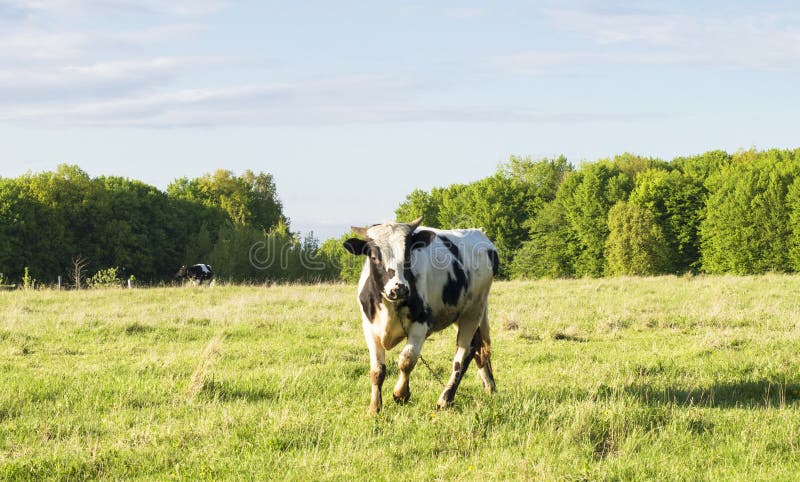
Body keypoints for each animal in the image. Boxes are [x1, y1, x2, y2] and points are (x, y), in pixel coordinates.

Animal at [343, 216, 498, 414]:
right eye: (373, 256)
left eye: (408, 254)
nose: (399, 289)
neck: (390, 306)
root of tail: (480, 234)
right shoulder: (370, 329)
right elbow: (377, 370)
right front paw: (375, 407)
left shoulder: (421, 325)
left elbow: (406, 360)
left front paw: (401, 394)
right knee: (477, 347)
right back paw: (489, 386)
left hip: (472, 312)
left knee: (463, 354)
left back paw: (446, 398)